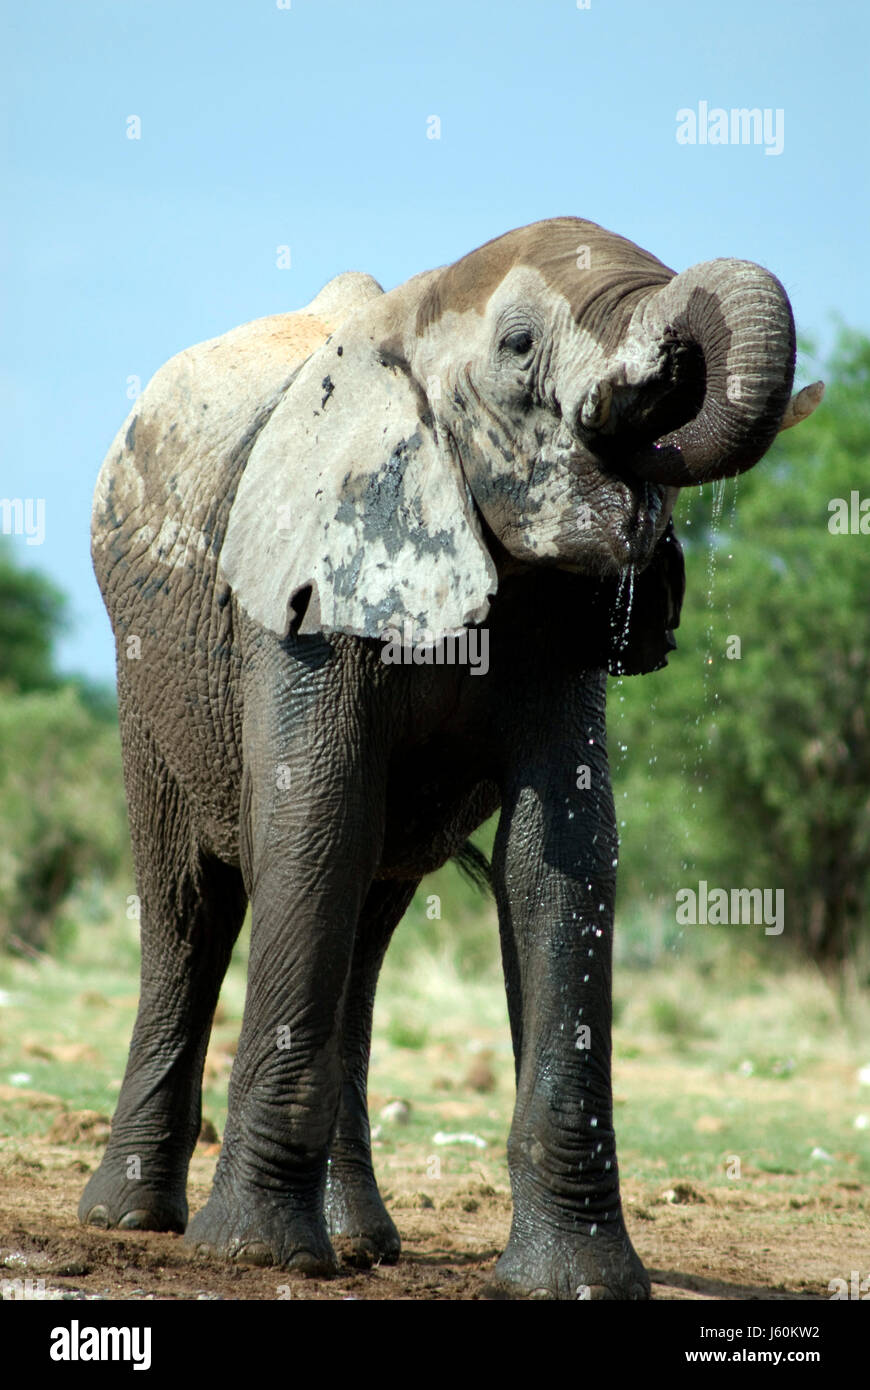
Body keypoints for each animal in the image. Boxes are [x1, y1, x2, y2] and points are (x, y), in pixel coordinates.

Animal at [81, 216, 822, 1299]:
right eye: (518, 346)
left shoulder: (557, 615)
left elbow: (559, 855)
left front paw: (575, 1284)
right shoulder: (309, 585)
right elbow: (314, 822)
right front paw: (251, 1255)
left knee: (366, 916)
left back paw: (361, 1246)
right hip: (147, 674)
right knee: (191, 905)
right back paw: (132, 1222)